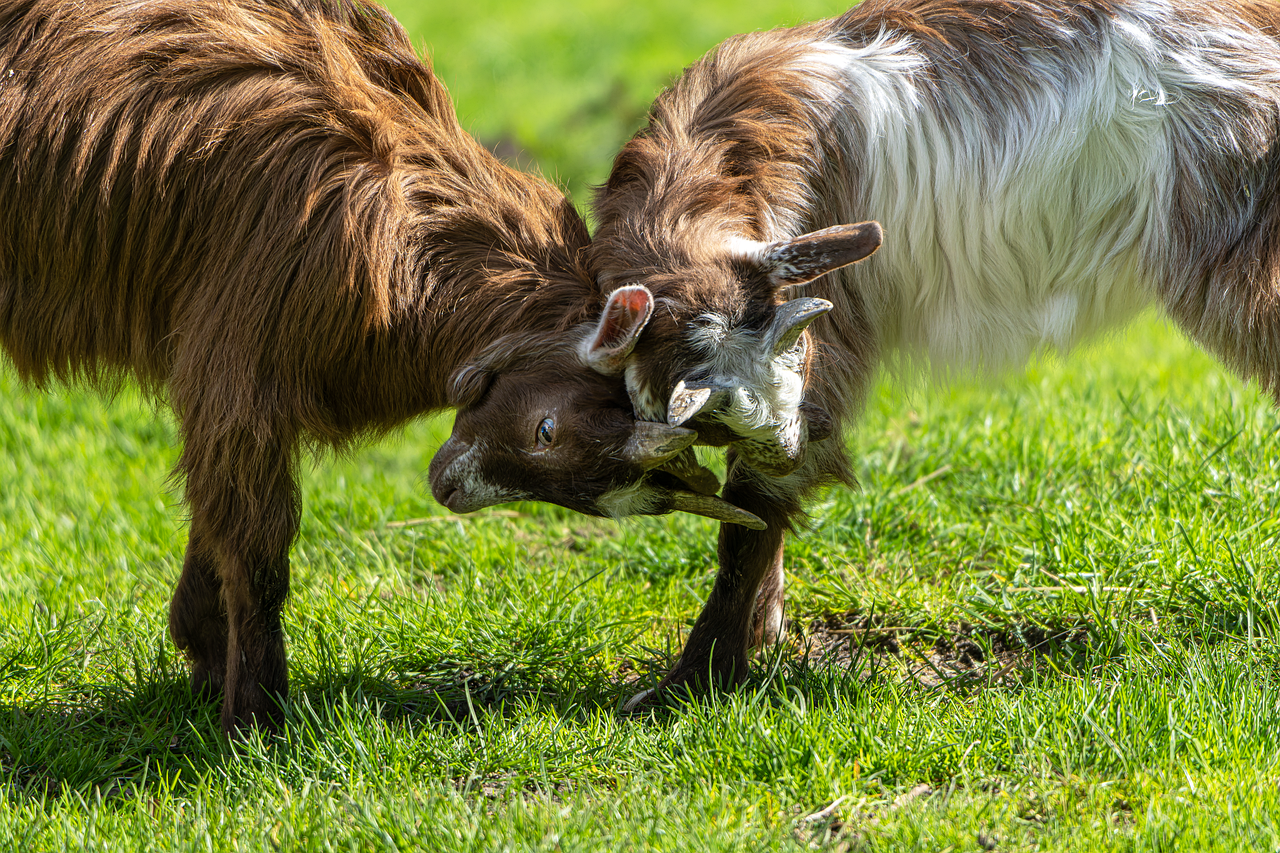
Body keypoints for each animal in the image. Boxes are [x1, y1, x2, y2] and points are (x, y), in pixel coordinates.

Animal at [0, 0, 750, 734]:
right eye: (547, 429)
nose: (450, 490)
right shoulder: (237, 364)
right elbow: (257, 546)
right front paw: (255, 716)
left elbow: (215, 515)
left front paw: (204, 653)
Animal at [583, 0, 1280, 702]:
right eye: (711, 419)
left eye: (793, 350)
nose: (795, 445)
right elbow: (753, 515)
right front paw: (760, 633)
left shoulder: (828, 335)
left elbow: (749, 513)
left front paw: (694, 681)